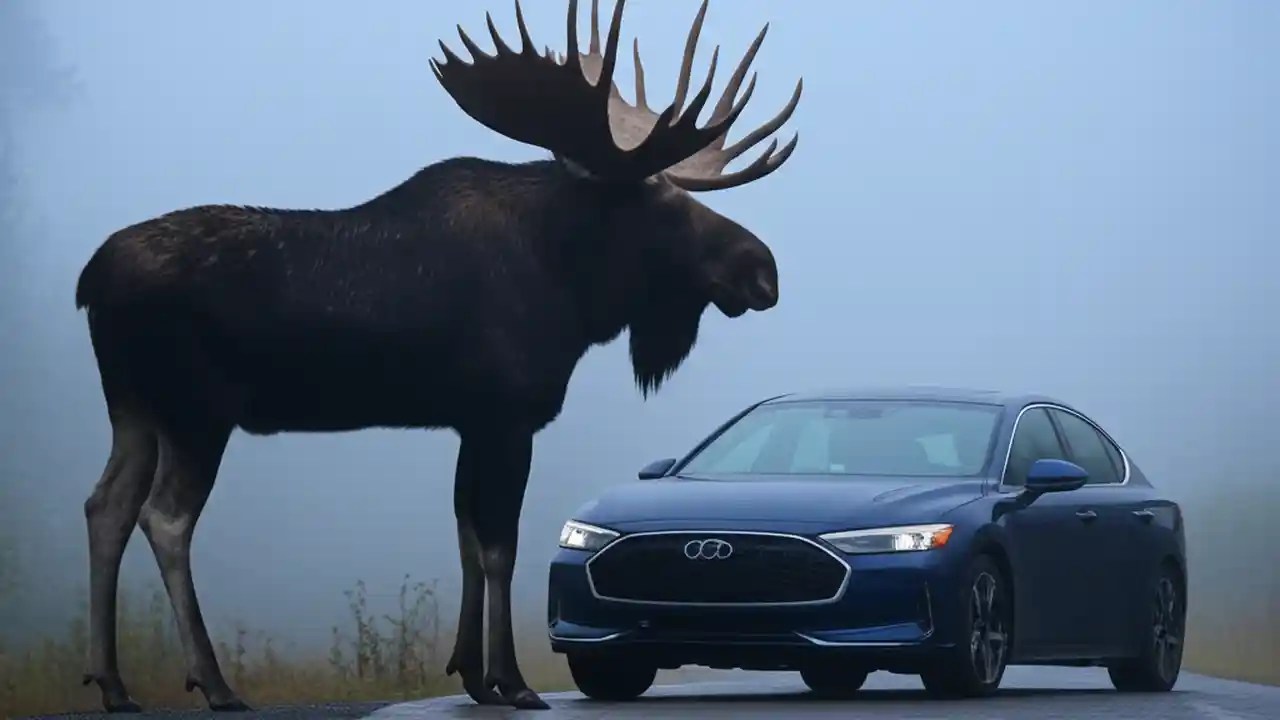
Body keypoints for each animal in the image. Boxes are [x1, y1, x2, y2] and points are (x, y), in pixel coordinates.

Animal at [73, 0, 801, 711]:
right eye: (662, 206)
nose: (762, 270)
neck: (569, 288)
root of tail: (91, 280)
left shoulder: (469, 420)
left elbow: (466, 539)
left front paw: (473, 675)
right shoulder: (509, 416)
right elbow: (500, 546)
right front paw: (512, 680)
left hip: (133, 409)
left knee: (105, 506)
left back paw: (113, 683)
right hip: (196, 410)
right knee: (164, 518)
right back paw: (215, 682)